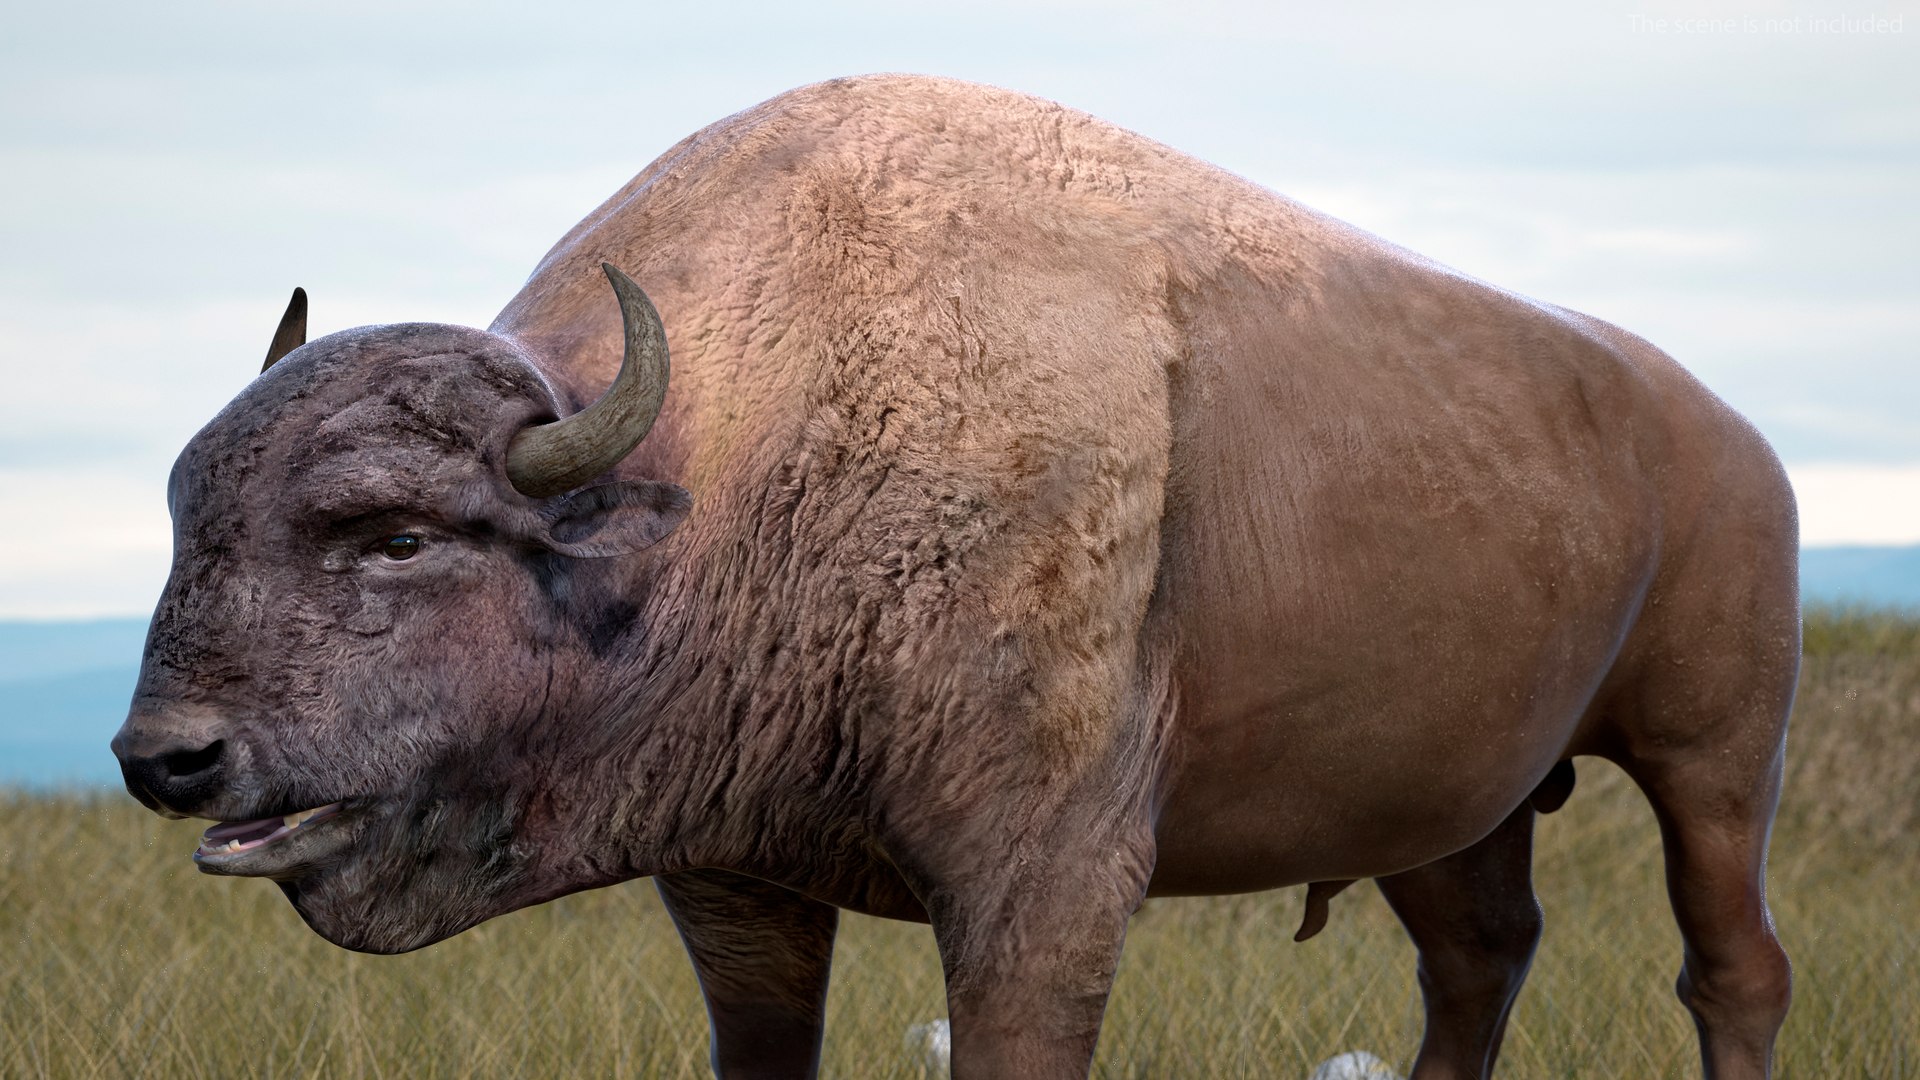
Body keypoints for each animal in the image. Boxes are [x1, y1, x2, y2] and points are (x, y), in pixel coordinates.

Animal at [111, 75, 1798, 1079]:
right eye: (193, 516)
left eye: (400, 535)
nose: (165, 759)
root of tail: (1729, 436)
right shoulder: (734, 882)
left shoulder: (1040, 887)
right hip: (1454, 805)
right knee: (1478, 958)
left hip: (1710, 755)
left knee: (1733, 968)